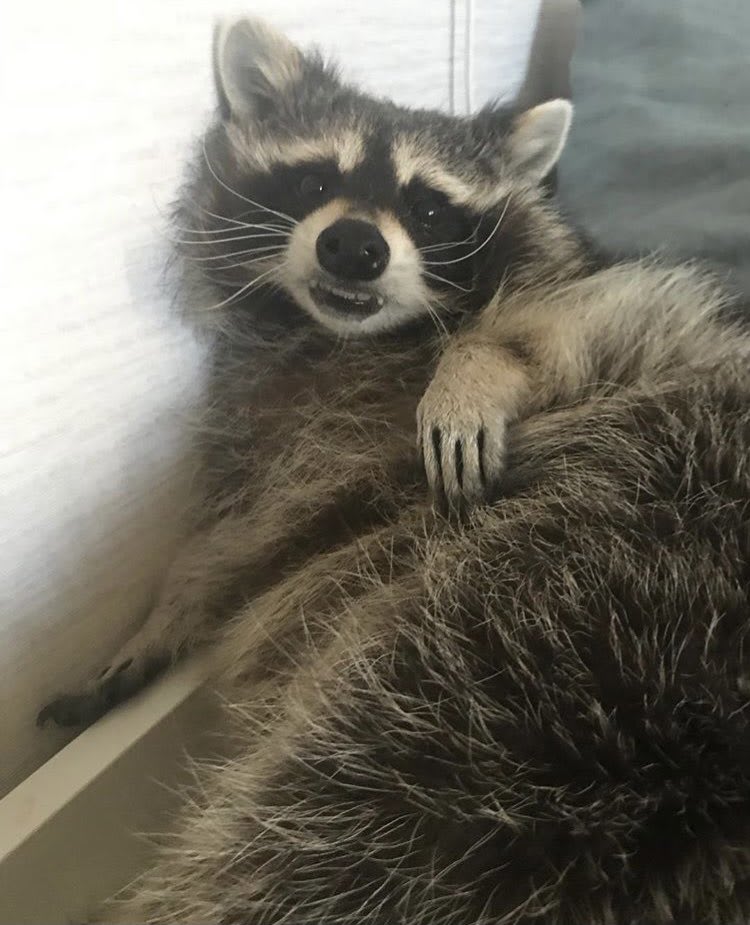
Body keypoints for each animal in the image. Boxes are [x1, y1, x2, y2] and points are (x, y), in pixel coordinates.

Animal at [45, 17, 750, 925]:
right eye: (315, 178)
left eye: (427, 205)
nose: (353, 245)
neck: (348, 340)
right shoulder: (256, 426)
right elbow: (230, 538)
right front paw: (164, 611)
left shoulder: (616, 303)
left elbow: (581, 317)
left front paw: (475, 367)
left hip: (575, 622)